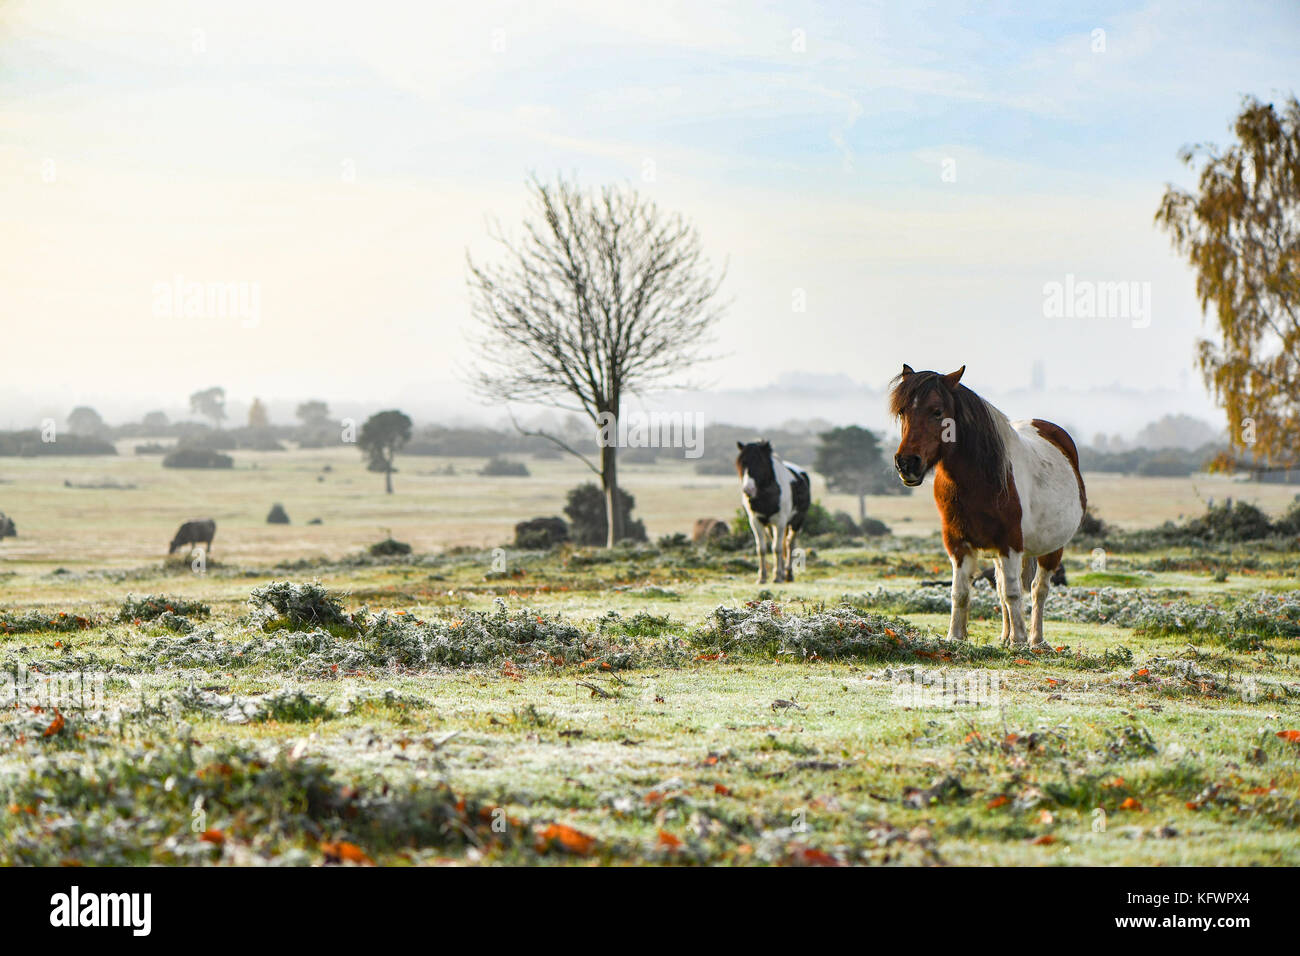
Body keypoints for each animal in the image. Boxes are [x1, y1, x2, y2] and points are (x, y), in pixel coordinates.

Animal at [736, 441, 812, 583]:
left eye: (760, 463)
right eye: (741, 464)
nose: (748, 490)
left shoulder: (780, 522)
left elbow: (777, 548)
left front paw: (777, 577)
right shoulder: (755, 521)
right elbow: (762, 549)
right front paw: (762, 577)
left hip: (796, 522)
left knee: (789, 544)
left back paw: (788, 574)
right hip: (770, 526)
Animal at [889, 365, 1085, 648]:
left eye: (937, 411)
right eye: (903, 411)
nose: (906, 463)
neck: (978, 480)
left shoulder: (1010, 543)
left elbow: (1015, 593)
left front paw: (1019, 641)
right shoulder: (958, 544)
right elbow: (961, 592)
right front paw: (956, 637)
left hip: (1051, 549)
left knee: (1038, 590)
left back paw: (1036, 640)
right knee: (1002, 587)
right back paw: (1005, 636)